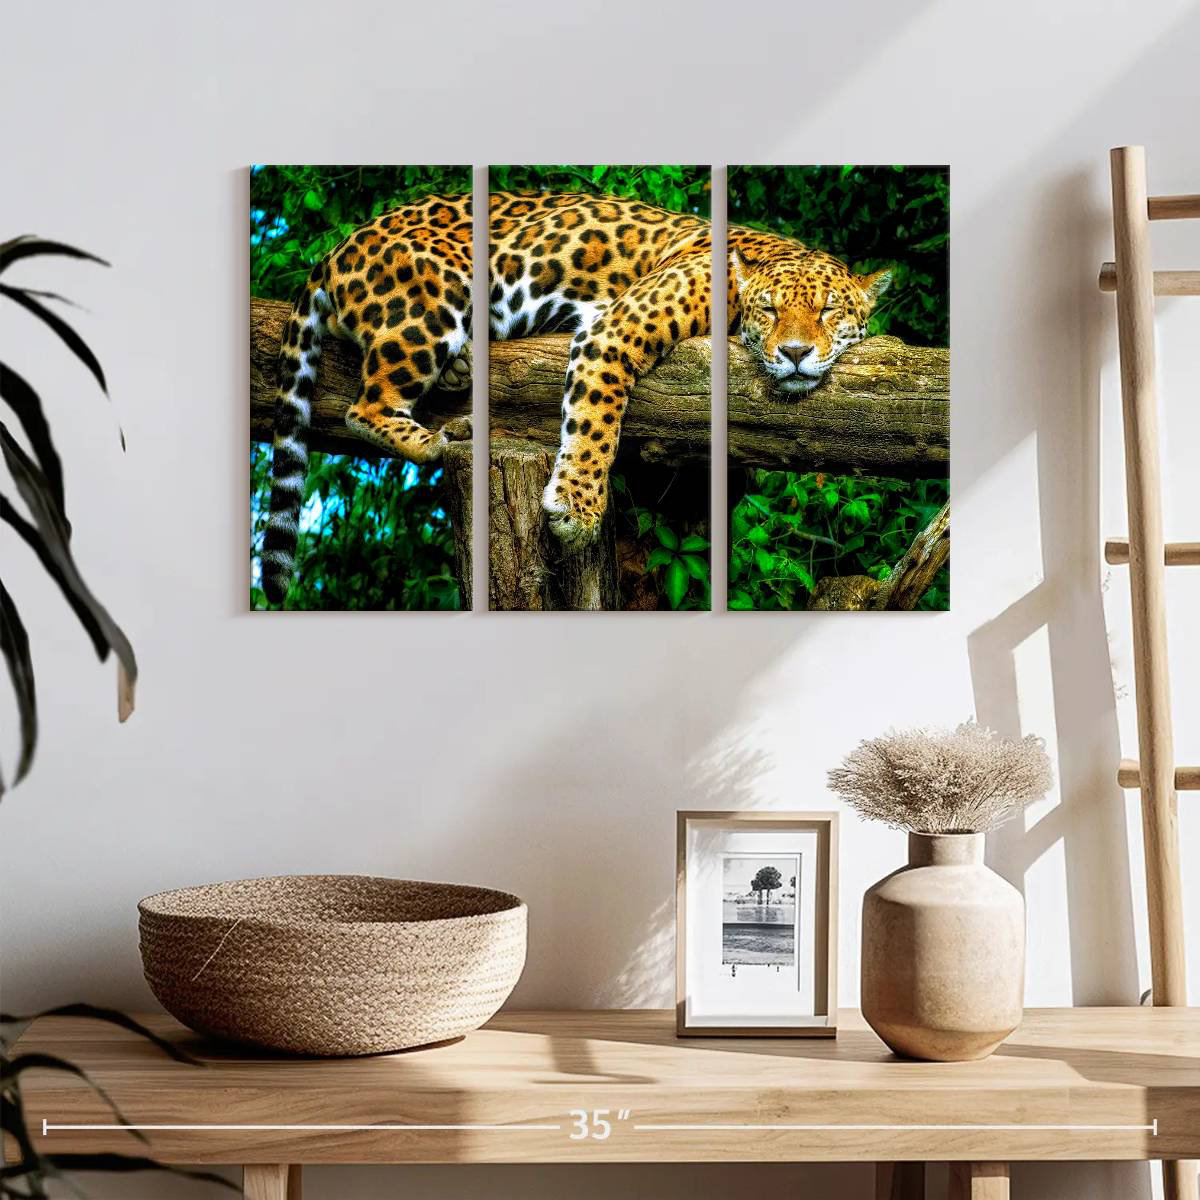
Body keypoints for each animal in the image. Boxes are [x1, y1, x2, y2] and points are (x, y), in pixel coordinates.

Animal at [261, 190, 890, 604]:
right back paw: (435, 438)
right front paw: (577, 509)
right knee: (364, 407)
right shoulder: (616, 329)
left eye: (829, 310)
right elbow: (595, 423)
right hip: (428, 303)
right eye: (771, 310)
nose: (794, 352)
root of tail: (337, 247)